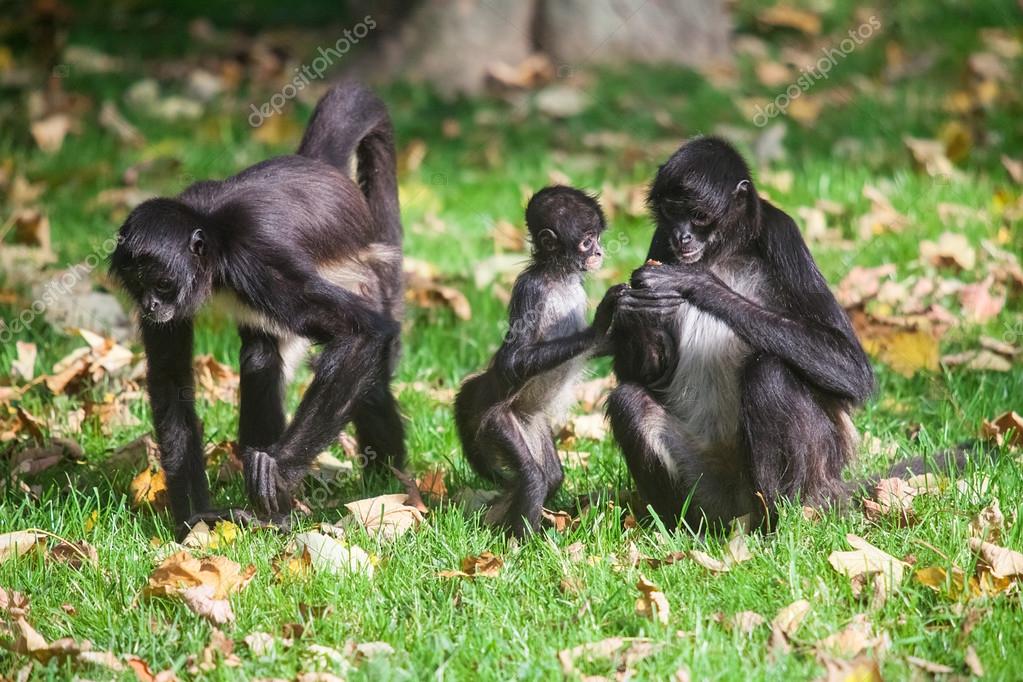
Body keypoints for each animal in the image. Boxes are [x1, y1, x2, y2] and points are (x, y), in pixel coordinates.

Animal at [109, 82, 405, 536]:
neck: (213, 229)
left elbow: (361, 333)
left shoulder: (256, 261)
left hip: (364, 275)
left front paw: (278, 476)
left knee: (367, 375)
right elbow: (171, 380)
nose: (152, 305)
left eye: (161, 283)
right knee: (261, 356)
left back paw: (386, 485)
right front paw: (194, 522)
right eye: (138, 286)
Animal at [454, 186, 625, 537]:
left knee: (552, 475)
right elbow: (510, 362)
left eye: (598, 238)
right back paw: (519, 542)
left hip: (530, 421)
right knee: (534, 478)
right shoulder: (531, 289)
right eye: (587, 241)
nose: (599, 253)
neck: (558, 277)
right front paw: (601, 322)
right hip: (500, 421)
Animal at [606, 136, 876, 531]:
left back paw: (777, 524)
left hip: (818, 475)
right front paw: (631, 309)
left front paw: (697, 284)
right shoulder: (660, 241)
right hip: (708, 488)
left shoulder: (782, 232)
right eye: (671, 213)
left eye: (698, 215)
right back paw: (682, 528)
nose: (681, 236)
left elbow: (854, 371)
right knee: (629, 402)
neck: (723, 253)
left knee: (769, 374)